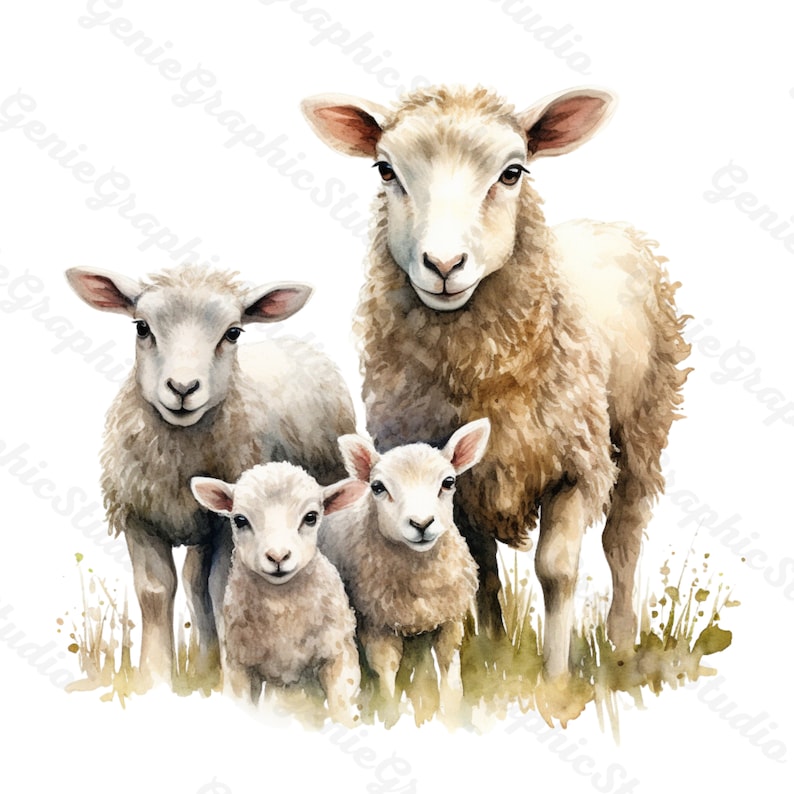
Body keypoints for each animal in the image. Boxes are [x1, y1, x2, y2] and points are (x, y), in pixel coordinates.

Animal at [65, 263, 356, 687]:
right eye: (142, 327)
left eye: (232, 332)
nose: (182, 388)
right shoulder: (139, 515)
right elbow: (155, 591)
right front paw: (155, 678)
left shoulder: (224, 526)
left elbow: (220, 589)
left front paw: (225, 676)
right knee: (191, 582)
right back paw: (203, 662)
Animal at [190, 462, 365, 724]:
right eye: (240, 520)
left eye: (311, 517)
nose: (278, 556)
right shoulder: (238, 665)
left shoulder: (340, 656)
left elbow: (342, 708)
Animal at [302, 85, 691, 679]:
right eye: (386, 170)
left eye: (512, 172)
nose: (443, 265)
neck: (480, 381)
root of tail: (604, 225)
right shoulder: (462, 477)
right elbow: (481, 565)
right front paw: (488, 654)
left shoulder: (574, 466)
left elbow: (556, 570)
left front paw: (553, 677)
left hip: (643, 423)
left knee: (622, 537)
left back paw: (622, 642)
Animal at [318, 418, 489, 710]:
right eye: (378, 487)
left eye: (448, 481)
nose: (422, 523)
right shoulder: (376, 624)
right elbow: (386, 673)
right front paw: (391, 710)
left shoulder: (450, 620)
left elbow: (450, 674)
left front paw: (451, 711)